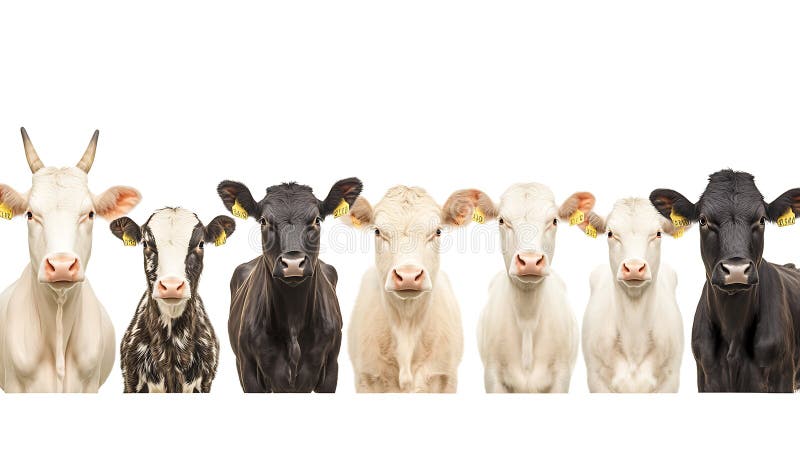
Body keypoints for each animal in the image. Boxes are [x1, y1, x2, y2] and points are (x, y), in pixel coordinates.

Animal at [341, 186, 492, 393]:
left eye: (438, 231)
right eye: (377, 231)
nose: (408, 276)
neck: (407, 327)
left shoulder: (447, 376)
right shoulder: (365, 377)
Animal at [472, 183, 593, 393]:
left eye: (554, 221)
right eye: (502, 220)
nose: (530, 261)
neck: (527, 320)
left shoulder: (562, 375)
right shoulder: (492, 374)